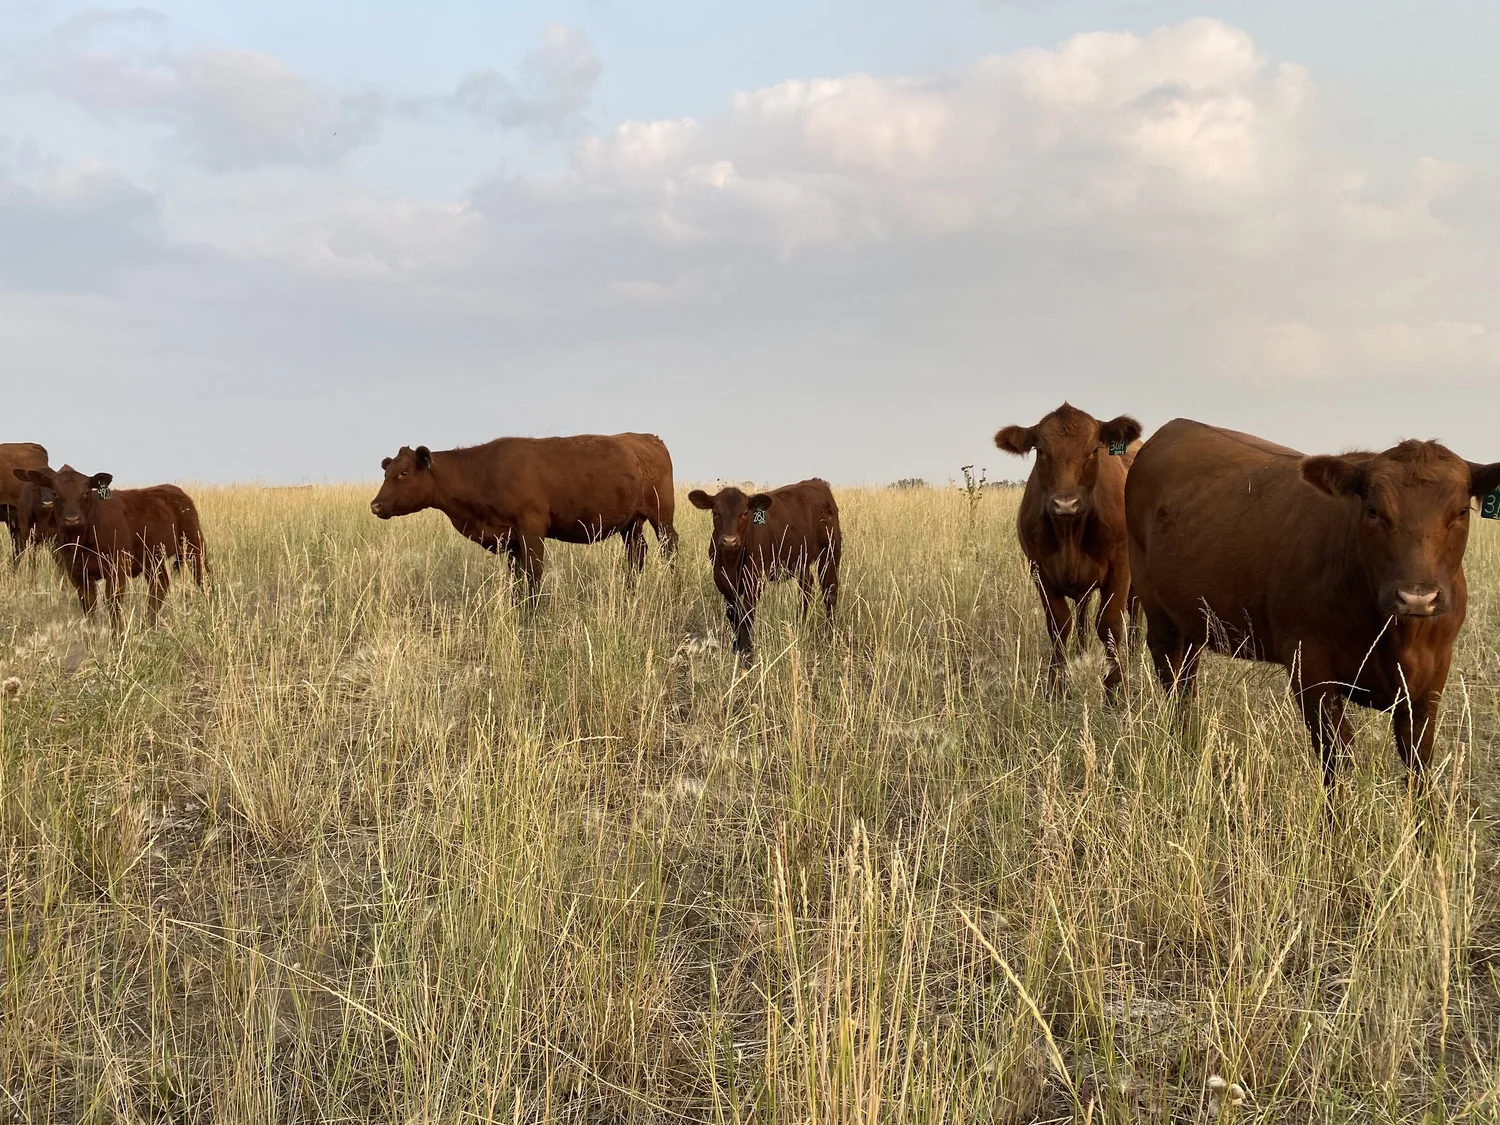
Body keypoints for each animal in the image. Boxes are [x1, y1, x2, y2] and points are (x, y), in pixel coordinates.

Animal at [12, 466, 209, 626]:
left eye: (85, 492)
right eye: (55, 493)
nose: (72, 519)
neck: (82, 542)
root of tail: (174, 491)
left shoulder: (117, 570)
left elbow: (113, 605)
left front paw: (117, 640)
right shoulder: (78, 575)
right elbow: (89, 607)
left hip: (195, 547)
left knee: (203, 580)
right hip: (153, 560)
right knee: (159, 587)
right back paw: (148, 626)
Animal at [369, 433, 678, 600]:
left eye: (404, 473)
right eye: (386, 472)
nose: (376, 505)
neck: (483, 473)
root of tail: (647, 438)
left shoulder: (531, 530)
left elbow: (533, 572)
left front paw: (533, 611)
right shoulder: (511, 539)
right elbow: (516, 577)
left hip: (662, 515)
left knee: (669, 546)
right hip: (631, 523)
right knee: (637, 553)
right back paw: (630, 592)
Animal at [688, 479, 841, 663]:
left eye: (744, 513)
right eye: (716, 513)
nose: (730, 540)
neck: (731, 561)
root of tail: (817, 482)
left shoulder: (754, 580)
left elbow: (747, 616)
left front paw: (747, 653)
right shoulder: (722, 581)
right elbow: (733, 615)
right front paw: (736, 647)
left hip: (830, 554)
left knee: (829, 592)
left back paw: (829, 635)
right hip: (801, 559)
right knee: (806, 588)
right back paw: (799, 625)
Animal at [994, 403, 1143, 698]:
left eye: (1095, 449)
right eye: (1041, 450)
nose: (1066, 503)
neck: (1069, 533)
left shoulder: (1120, 569)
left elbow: (1109, 624)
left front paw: (1113, 689)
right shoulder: (1039, 570)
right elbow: (1059, 624)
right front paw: (1056, 686)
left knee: (1133, 609)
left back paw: (1132, 655)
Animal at [1126, 418, 1500, 784]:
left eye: (1461, 511)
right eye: (1372, 510)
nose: (1417, 597)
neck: (1400, 635)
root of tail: (1175, 426)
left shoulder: (1432, 676)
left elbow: (1418, 758)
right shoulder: (1309, 666)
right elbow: (1337, 754)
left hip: (1192, 616)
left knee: (1187, 675)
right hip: (1153, 601)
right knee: (1171, 673)